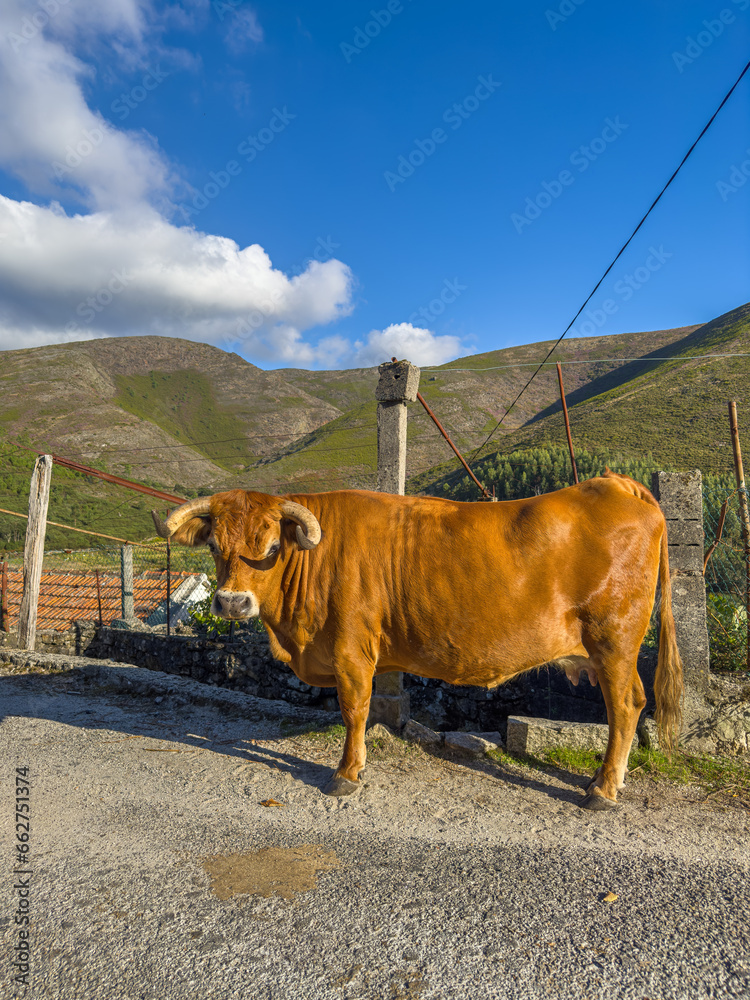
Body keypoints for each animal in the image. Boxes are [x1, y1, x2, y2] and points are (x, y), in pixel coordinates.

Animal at [152, 470, 683, 810]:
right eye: (214, 545)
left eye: (272, 544)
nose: (231, 603)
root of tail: (613, 483)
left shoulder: (351, 650)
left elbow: (354, 711)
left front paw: (347, 773)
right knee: (633, 704)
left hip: (613, 640)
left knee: (625, 706)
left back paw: (603, 790)